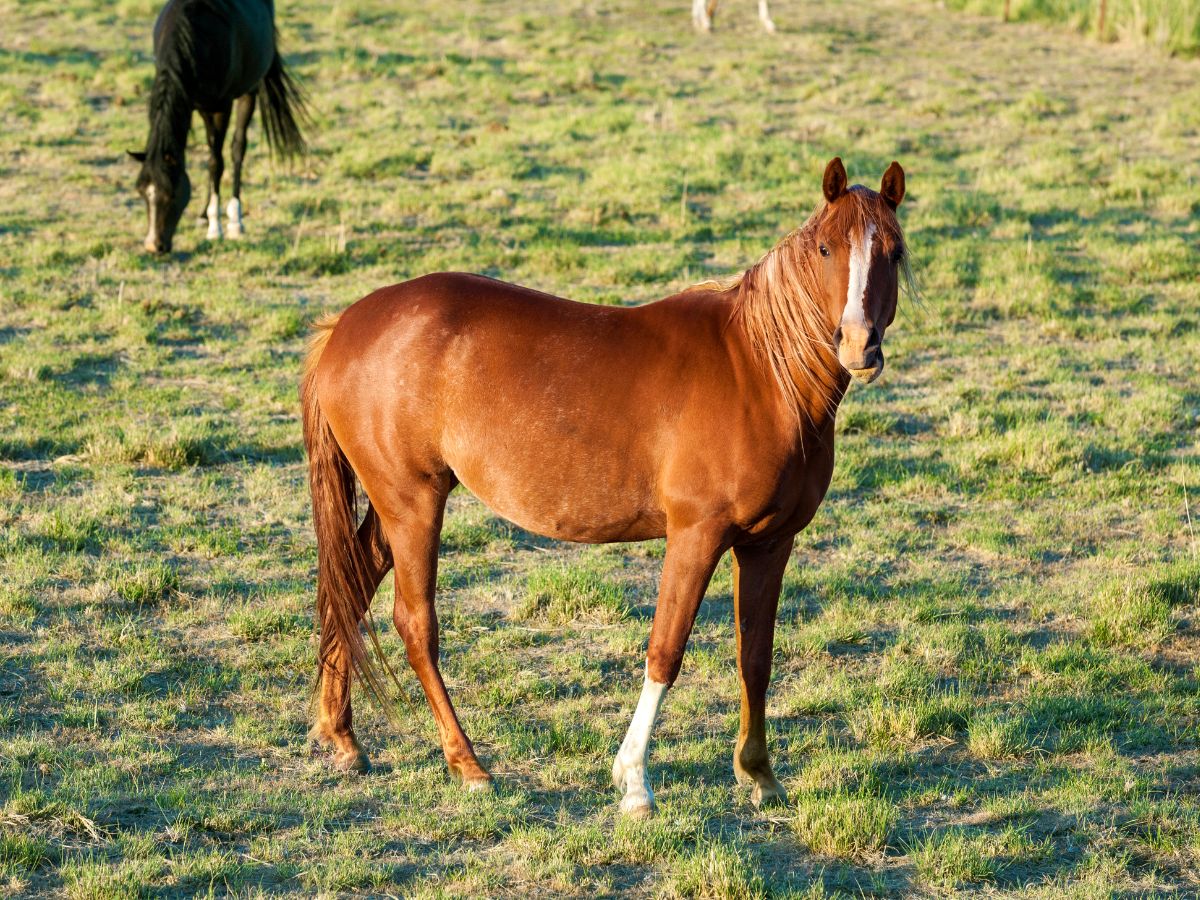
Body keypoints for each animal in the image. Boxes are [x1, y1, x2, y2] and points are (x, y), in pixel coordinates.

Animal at [128, 0, 306, 254]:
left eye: (171, 193)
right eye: (142, 192)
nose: (154, 246)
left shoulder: (219, 107)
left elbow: (216, 162)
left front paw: (216, 228)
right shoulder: (190, 103)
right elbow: (208, 159)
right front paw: (208, 216)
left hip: (249, 91)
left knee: (237, 148)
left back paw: (235, 220)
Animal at [301, 157, 911, 818]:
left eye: (894, 251)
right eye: (827, 249)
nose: (859, 346)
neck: (762, 371)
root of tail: (344, 325)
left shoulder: (769, 544)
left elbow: (755, 657)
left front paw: (759, 774)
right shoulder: (696, 536)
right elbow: (666, 651)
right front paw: (635, 781)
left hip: (395, 507)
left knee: (351, 584)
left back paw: (342, 736)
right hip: (413, 504)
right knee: (415, 623)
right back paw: (468, 765)